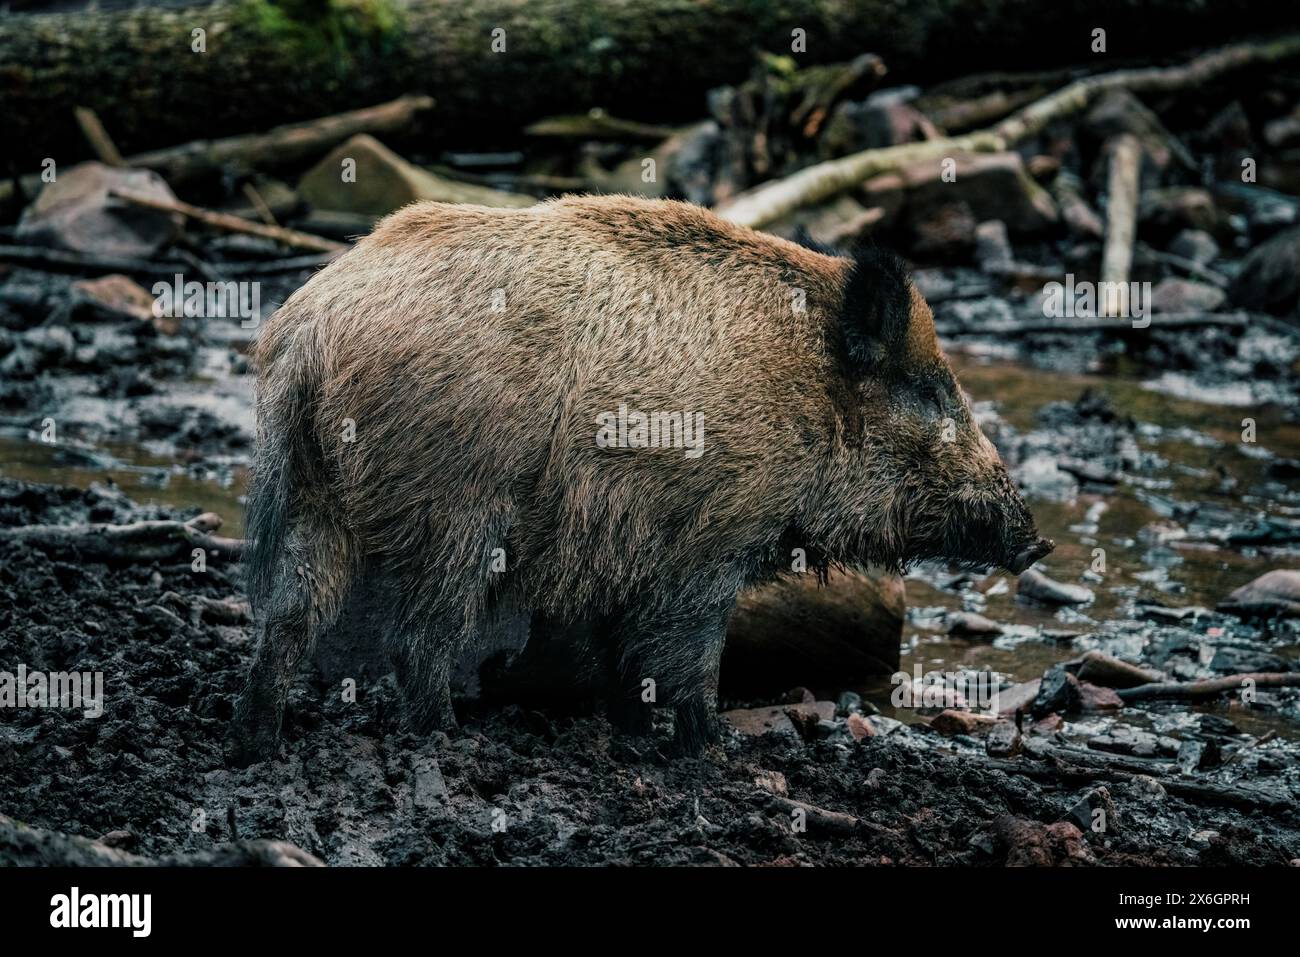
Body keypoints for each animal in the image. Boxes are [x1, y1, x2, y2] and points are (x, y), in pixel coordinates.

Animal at [225, 195, 1052, 765]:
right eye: (932, 392)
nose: (1036, 540)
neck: (802, 391)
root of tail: (311, 327)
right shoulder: (712, 539)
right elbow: (690, 654)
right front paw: (713, 749)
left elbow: (626, 654)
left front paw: (635, 735)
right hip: (455, 504)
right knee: (418, 634)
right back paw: (444, 736)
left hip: (313, 492)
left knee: (289, 614)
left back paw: (258, 741)